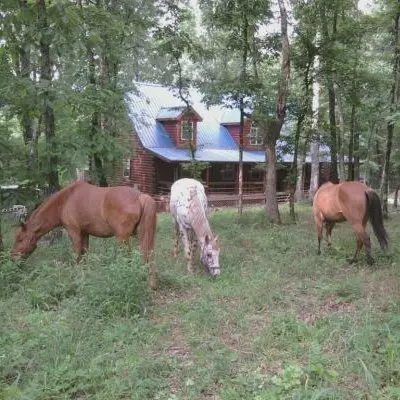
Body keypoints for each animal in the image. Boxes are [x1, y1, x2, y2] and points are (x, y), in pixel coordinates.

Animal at [10, 180, 158, 288]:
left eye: (20, 239)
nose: (12, 257)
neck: (65, 200)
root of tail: (140, 196)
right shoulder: (85, 233)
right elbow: (85, 255)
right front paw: (84, 275)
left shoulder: (74, 232)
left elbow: (77, 255)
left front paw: (77, 278)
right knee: (148, 256)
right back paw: (150, 284)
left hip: (122, 239)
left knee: (128, 258)